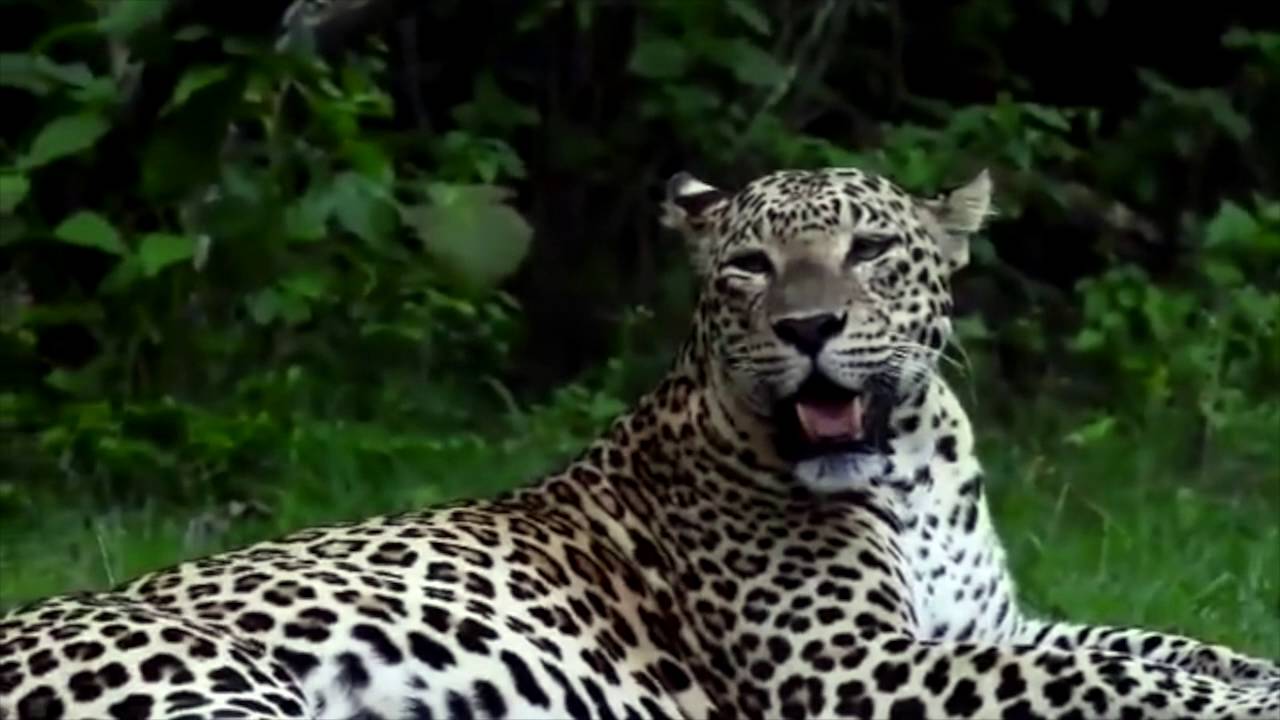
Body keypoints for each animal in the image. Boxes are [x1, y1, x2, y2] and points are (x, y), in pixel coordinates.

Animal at [2, 164, 1278, 720]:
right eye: (748, 267)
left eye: (868, 250)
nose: (808, 329)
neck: (911, 473)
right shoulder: (850, 668)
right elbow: (1096, 672)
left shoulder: (978, 625)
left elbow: (1146, 641)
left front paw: (1248, 674)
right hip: (213, 689)